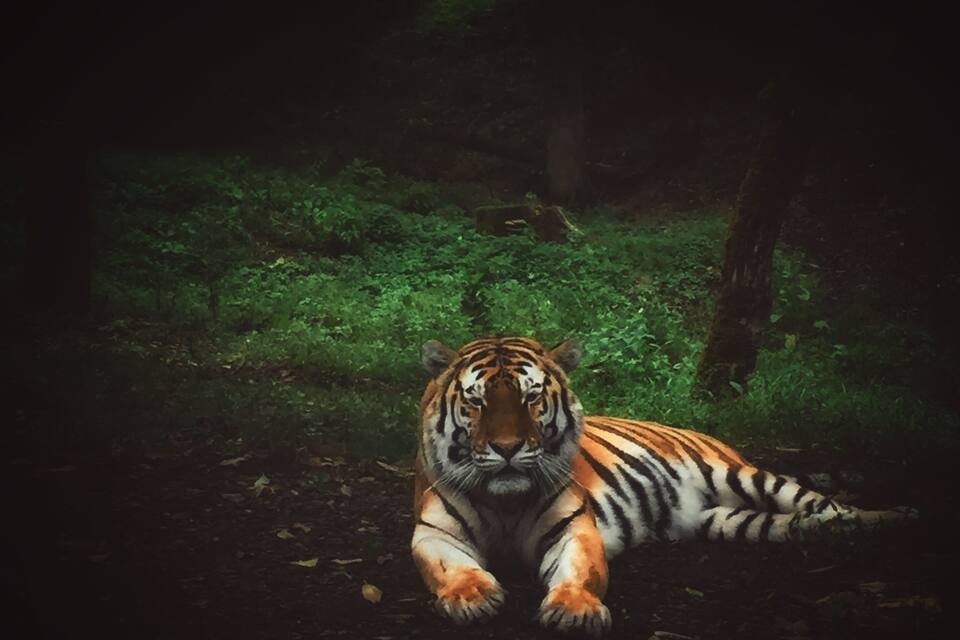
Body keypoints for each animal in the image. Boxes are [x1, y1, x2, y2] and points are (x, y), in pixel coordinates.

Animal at [412, 336, 916, 636]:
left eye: (531, 397)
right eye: (476, 401)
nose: (507, 447)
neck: (507, 502)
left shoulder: (574, 529)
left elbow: (580, 570)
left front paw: (574, 610)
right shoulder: (433, 533)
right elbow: (450, 567)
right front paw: (471, 597)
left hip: (744, 477)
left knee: (830, 504)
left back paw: (897, 518)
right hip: (729, 520)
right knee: (808, 521)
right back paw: (828, 532)